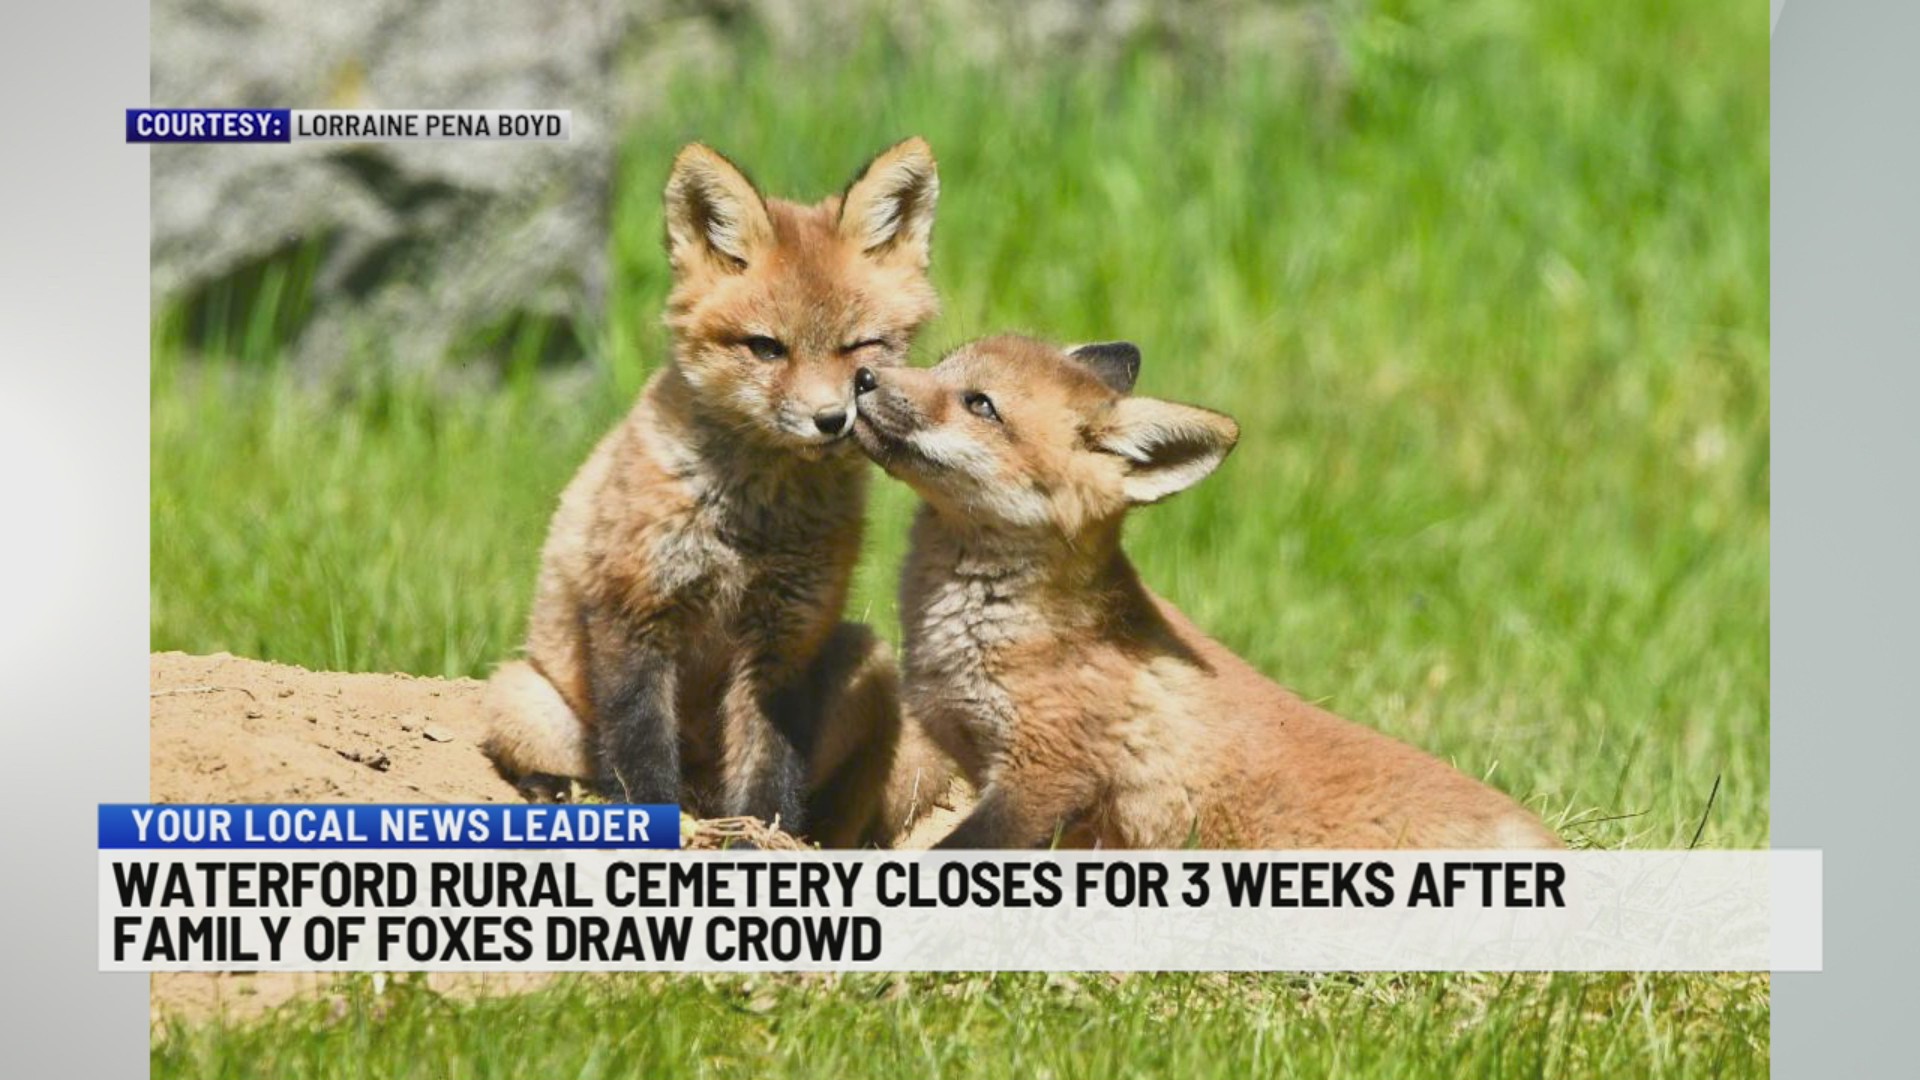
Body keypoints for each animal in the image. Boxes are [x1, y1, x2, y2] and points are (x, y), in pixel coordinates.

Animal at [482, 138, 950, 847]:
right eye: (767, 348)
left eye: (859, 349)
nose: (831, 419)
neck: (751, 526)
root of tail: (703, 790)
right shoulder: (634, 612)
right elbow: (641, 750)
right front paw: (655, 821)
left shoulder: (787, 636)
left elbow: (769, 765)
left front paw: (761, 835)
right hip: (523, 698)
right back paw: (560, 794)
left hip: (867, 660)